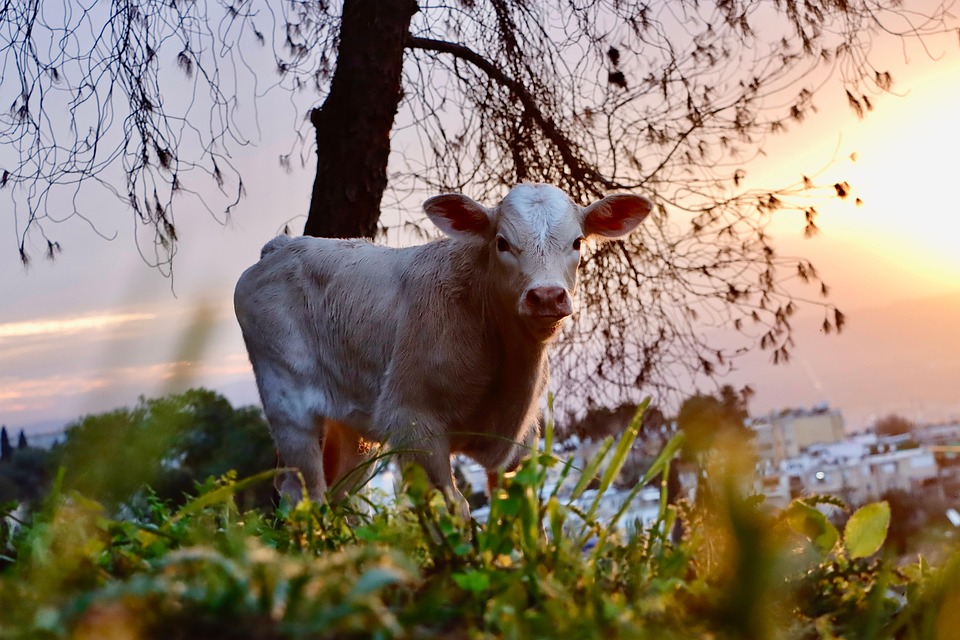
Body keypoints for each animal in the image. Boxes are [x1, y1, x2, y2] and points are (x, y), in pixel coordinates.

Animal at [234, 183, 653, 517]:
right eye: (502, 242)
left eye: (577, 242)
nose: (547, 295)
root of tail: (283, 246)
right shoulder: (413, 423)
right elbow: (455, 509)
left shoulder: (522, 440)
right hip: (288, 405)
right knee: (304, 492)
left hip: (354, 429)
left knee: (341, 494)